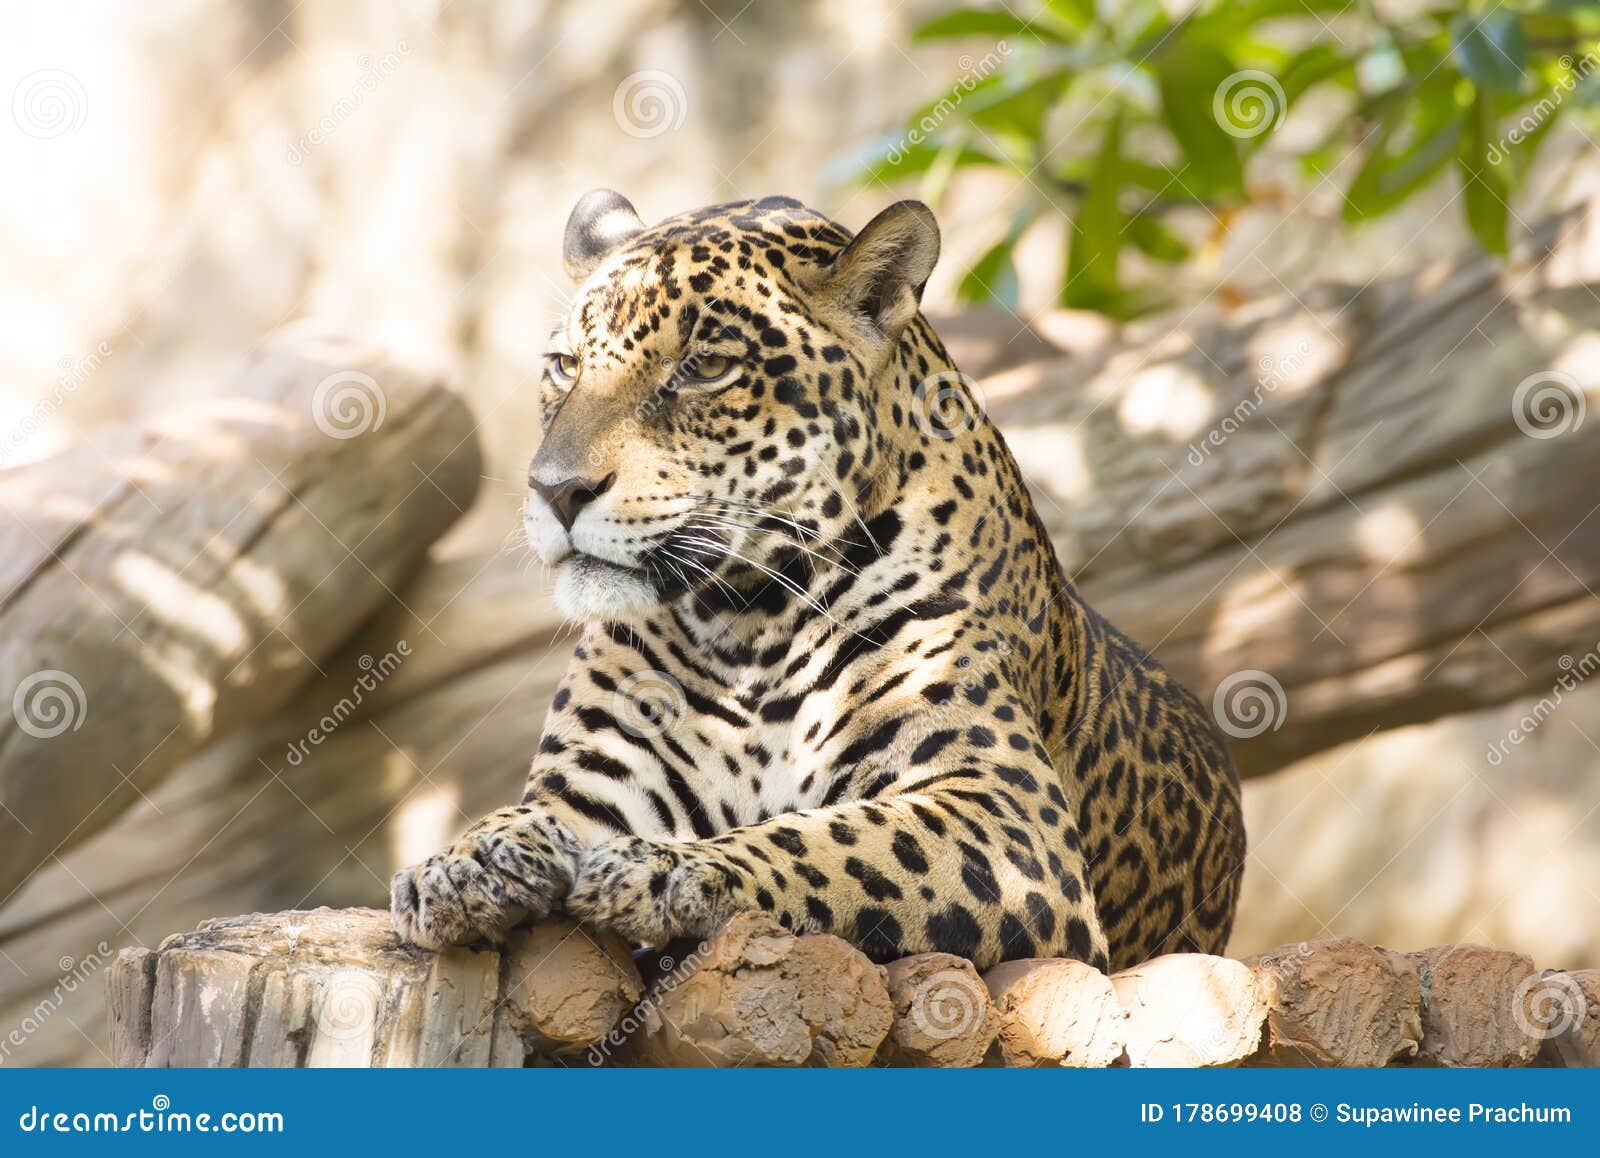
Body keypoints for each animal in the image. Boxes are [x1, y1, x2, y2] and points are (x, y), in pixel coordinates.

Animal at [389, 190, 1246, 974]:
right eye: (565, 366)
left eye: (704, 368)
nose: (556, 490)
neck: (742, 619)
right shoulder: (589, 784)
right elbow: (524, 815)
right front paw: (459, 863)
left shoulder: (1007, 815)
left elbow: (830, 840)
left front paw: (660, 868)